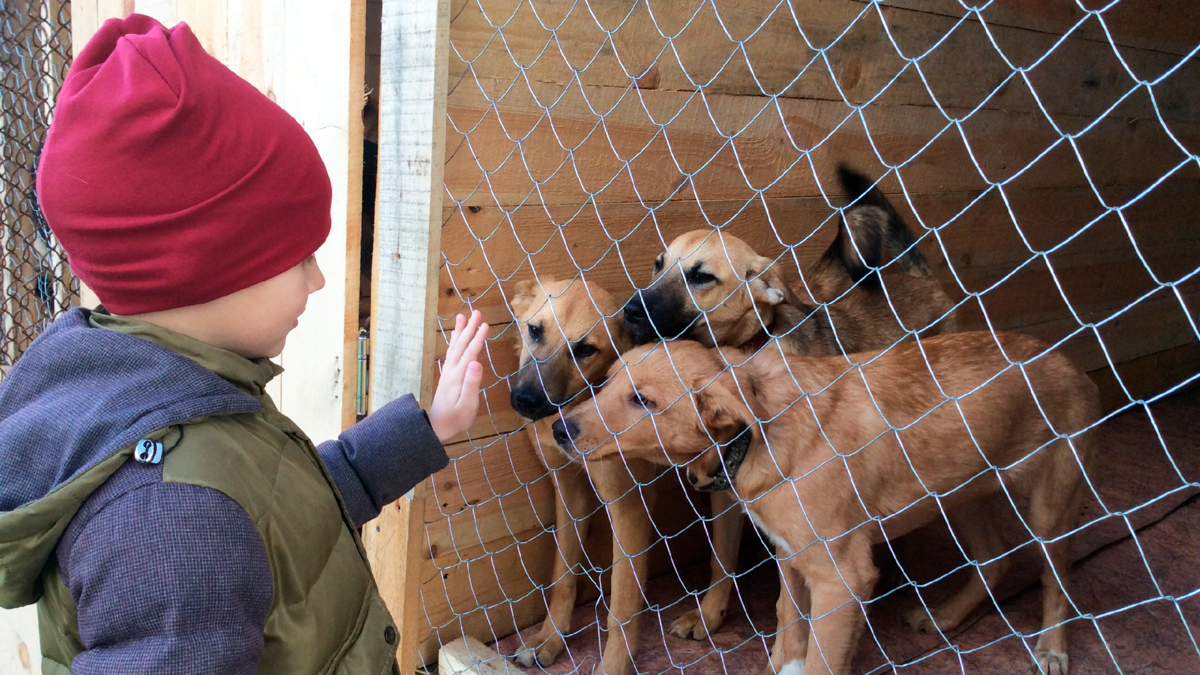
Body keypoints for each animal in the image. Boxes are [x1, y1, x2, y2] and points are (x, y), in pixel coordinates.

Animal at [549, 331, 1099, 672]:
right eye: (609, 380)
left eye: (643, 401)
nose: (558, 428)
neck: (759, 433)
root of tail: (1067, 360)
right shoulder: (792, 556)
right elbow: (787, 624)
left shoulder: (843, 579)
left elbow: (819, 660)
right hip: (960, 495)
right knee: (995, 557)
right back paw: (943, 618)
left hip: (1052, 506)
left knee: (1059, 579)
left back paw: (1051, 648)